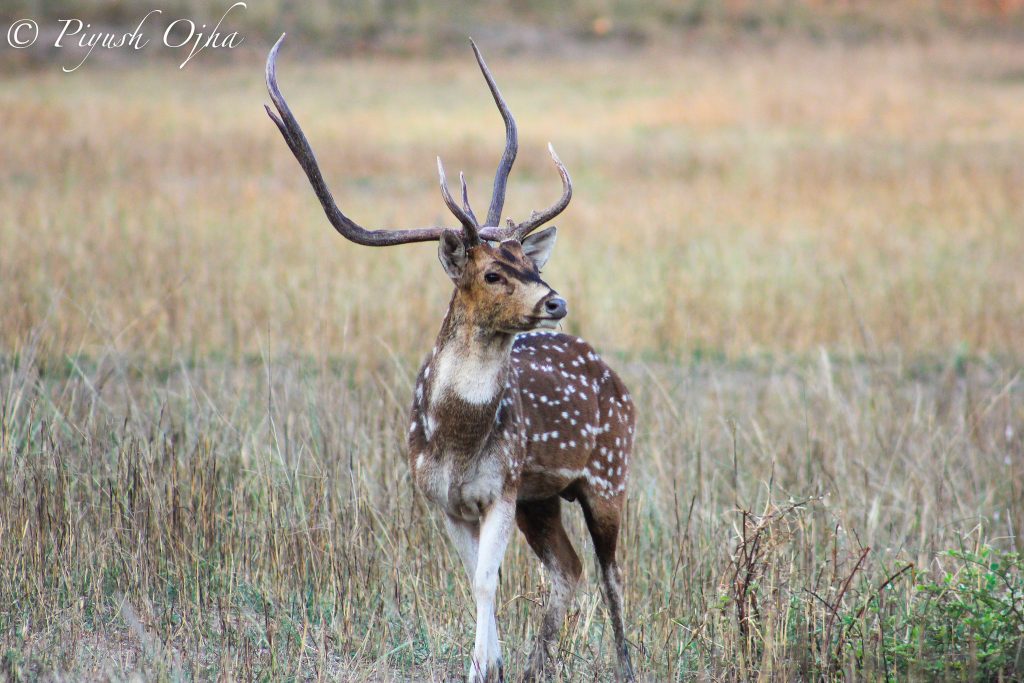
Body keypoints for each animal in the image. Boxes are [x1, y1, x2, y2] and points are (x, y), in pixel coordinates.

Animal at [265, 35, 637, 683]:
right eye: (492, 272)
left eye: (530, 263)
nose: (554, 299)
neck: (457, 443)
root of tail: (616, 380)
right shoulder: (441, 498)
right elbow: (477, 581)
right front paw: (493, 667)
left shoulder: (502, 487)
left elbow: (488, 582)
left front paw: (482, 668)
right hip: (542, 498)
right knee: (569, 570)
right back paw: (537, 667)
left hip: (608, 472)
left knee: (613, 575)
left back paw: (624, 665)